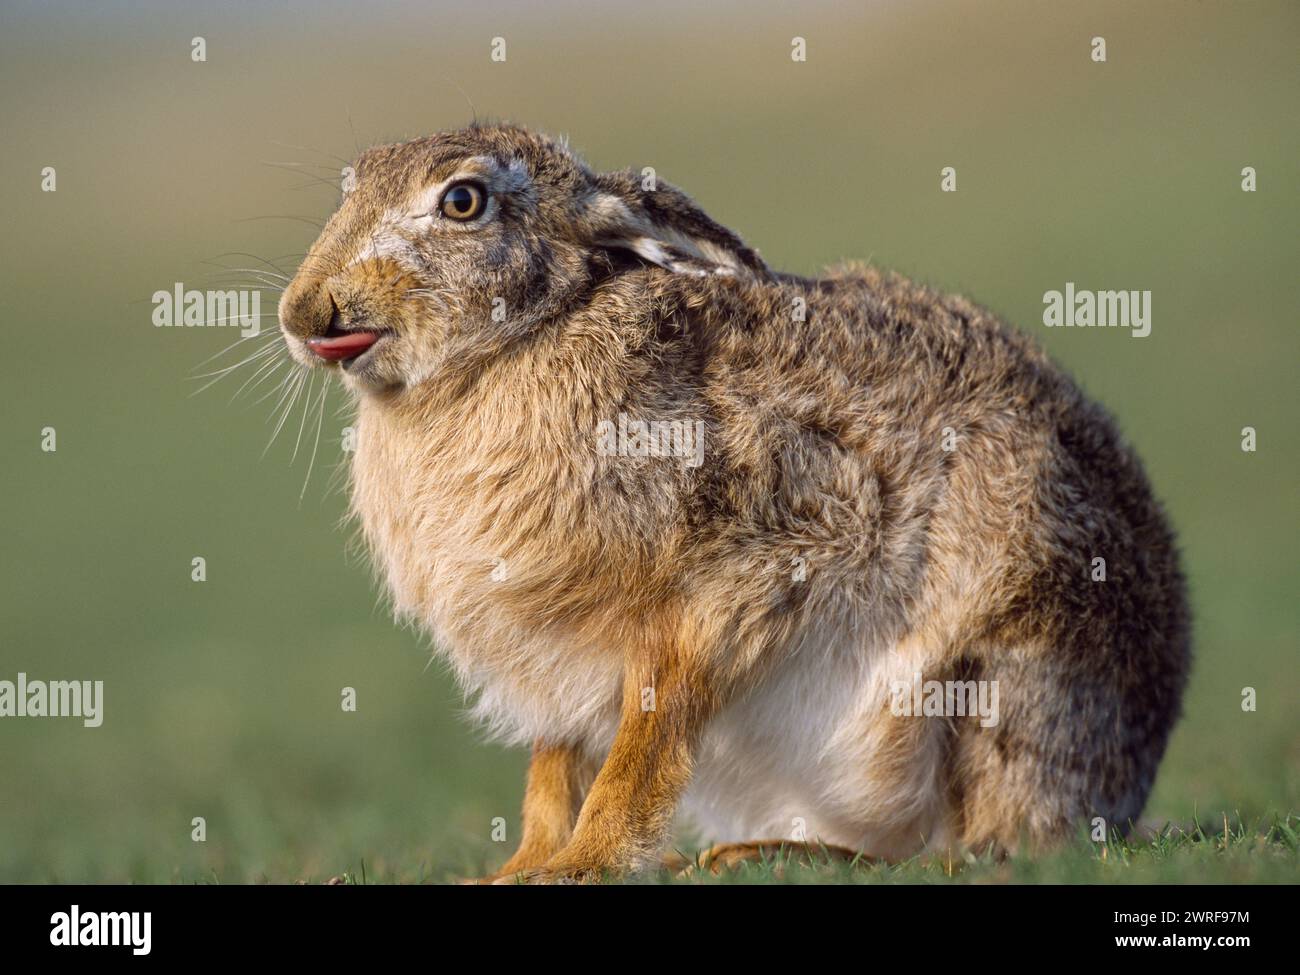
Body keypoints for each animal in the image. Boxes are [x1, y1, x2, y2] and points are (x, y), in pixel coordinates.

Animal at [276, 123, 1189, 883]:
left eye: (462, 201)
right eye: (354, 183)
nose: (302, 311)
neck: (524, 339)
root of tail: (1125, 783)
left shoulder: (739, 580)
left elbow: (642, 746)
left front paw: (586, 862)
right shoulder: (553, 660)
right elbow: (551, 771)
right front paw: (520, 867)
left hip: (999, 675)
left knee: (971, 847)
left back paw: (763, 855)